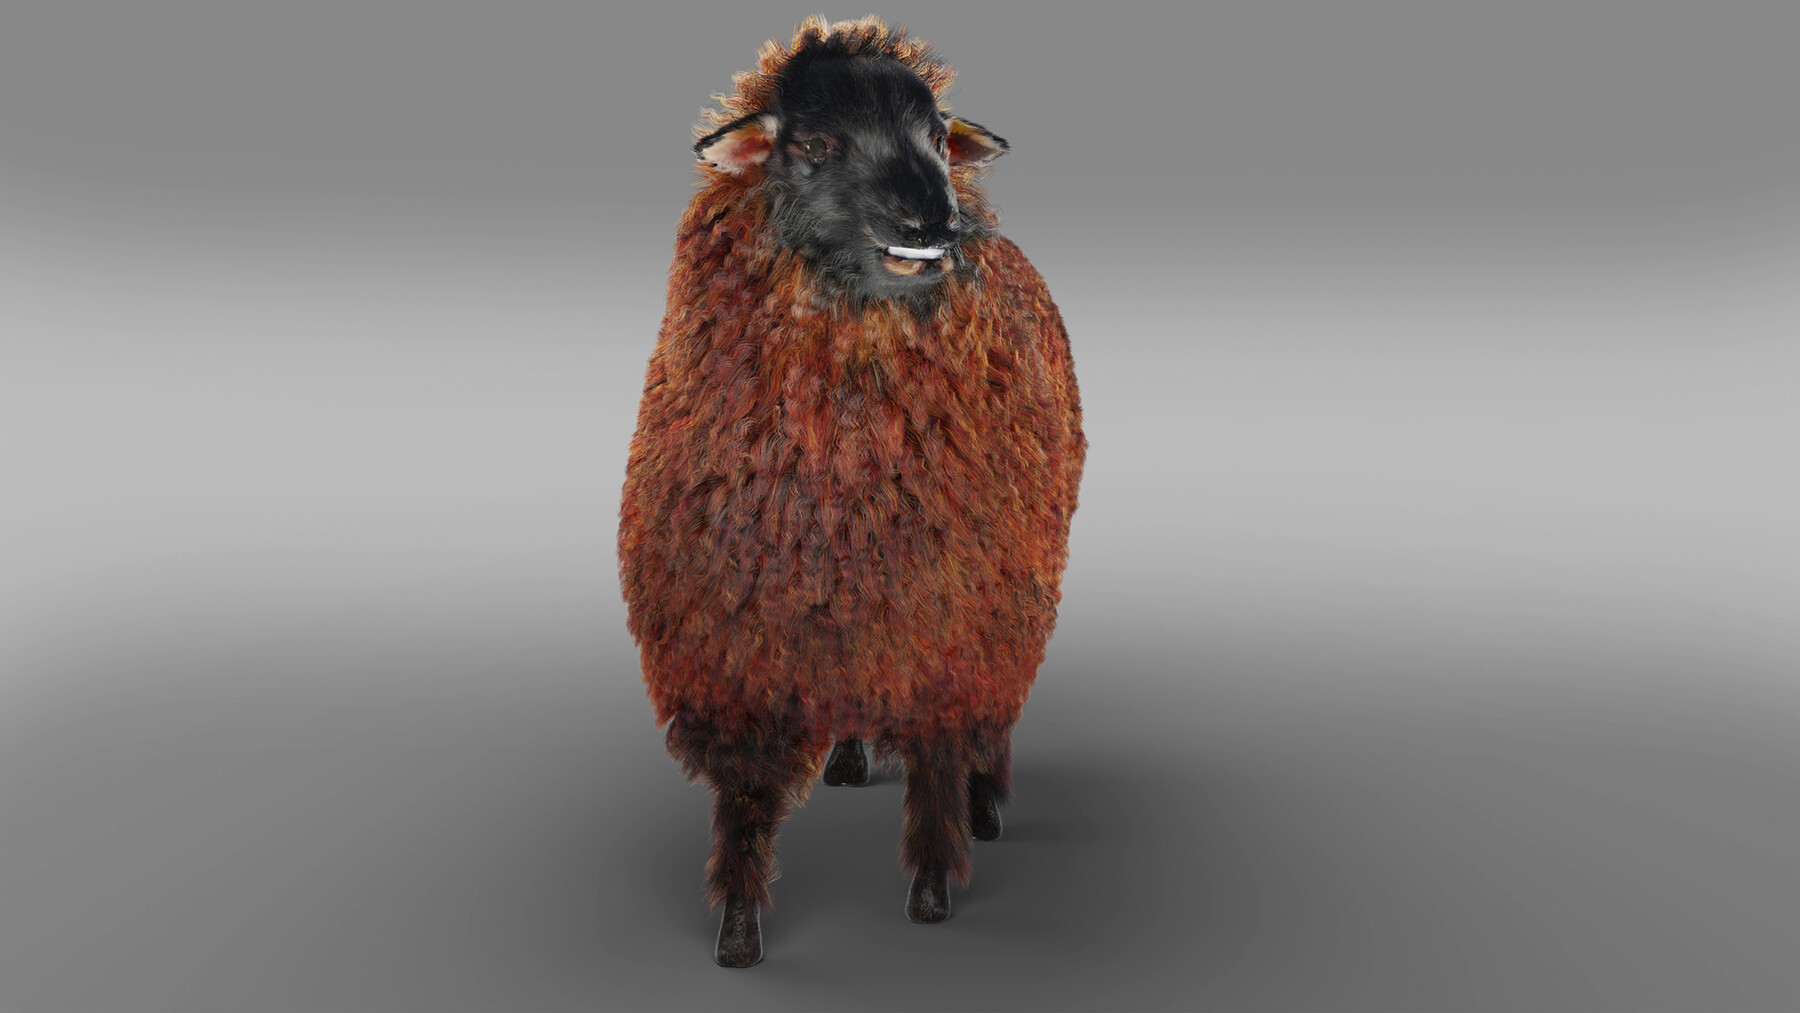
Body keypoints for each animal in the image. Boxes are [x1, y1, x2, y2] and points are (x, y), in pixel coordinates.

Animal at [618, 15, 1085, 967]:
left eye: (939, 139)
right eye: (814, 146)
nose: (935, 223)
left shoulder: (949, 625)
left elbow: (938, 761)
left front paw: (935, 883)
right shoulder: (739, 643)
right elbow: (746, 795)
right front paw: (737, 925)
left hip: (1013, 600)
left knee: (993, 721)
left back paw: (988, 802)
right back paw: (845, 756)